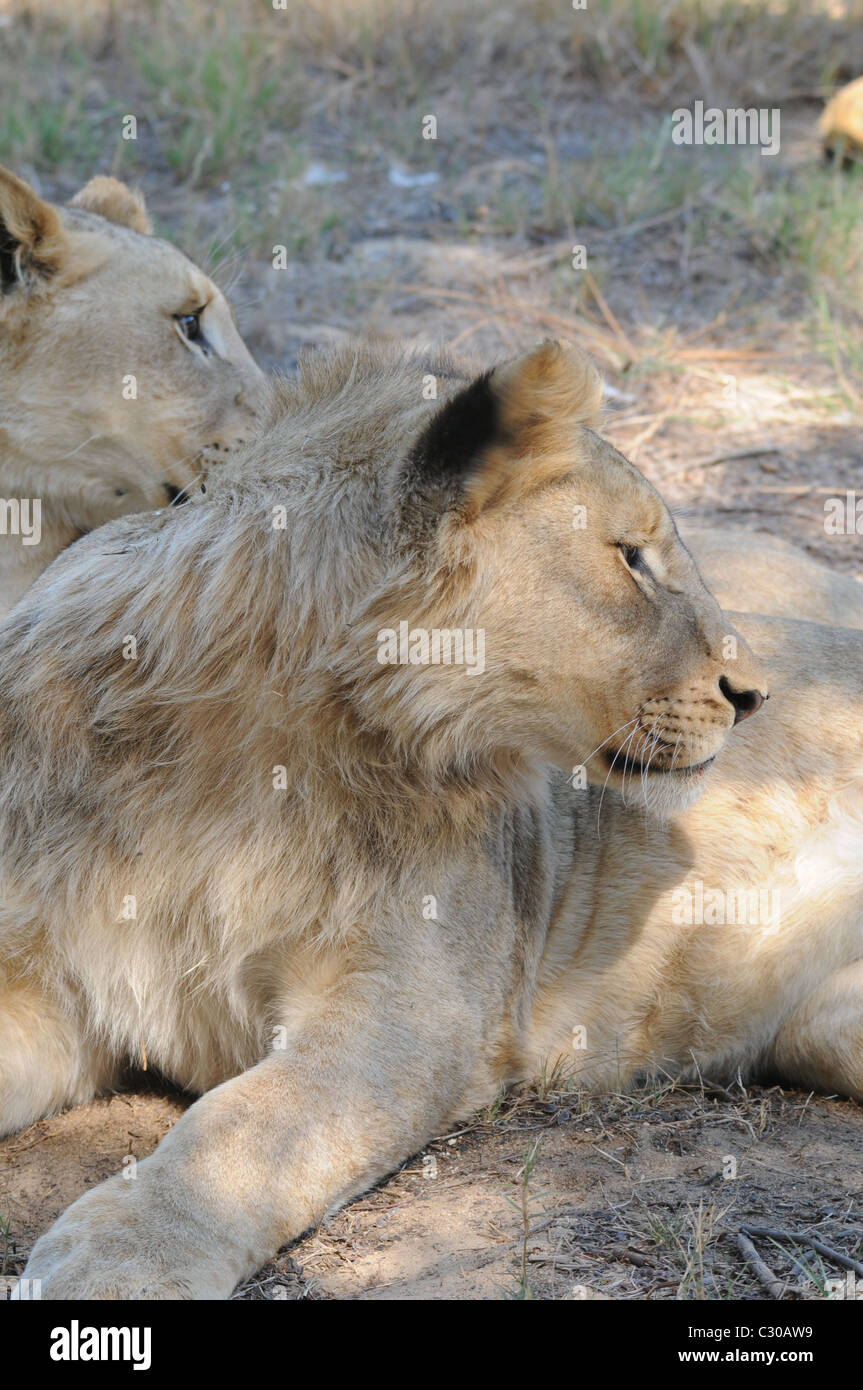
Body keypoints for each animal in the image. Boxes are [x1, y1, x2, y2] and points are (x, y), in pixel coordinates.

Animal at [2, 340, 861, 1300]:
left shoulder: (414, 1010)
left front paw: (118, 1261)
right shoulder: (43, 976)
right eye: (632, 559)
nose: (752, 697)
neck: (220, 776)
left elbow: (245, 1126)